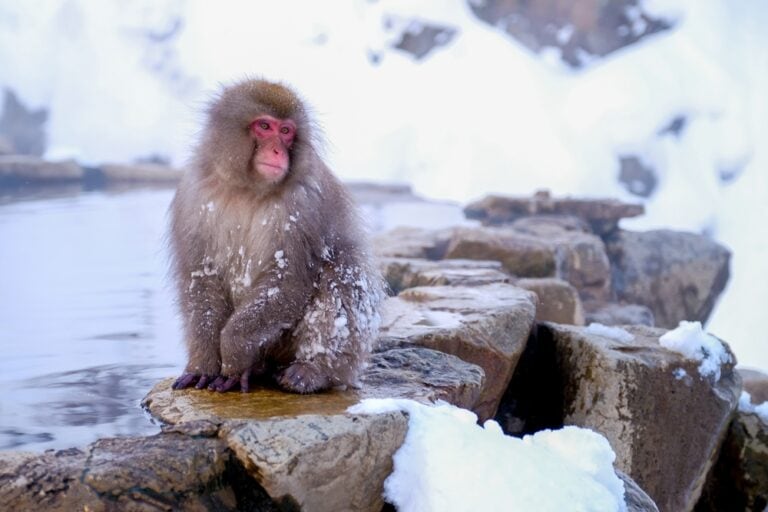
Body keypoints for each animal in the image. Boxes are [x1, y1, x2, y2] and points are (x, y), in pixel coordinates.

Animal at [169, 79, 384, 394]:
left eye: (286, 132)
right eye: (264, 126)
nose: (277, 152)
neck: (247, 189)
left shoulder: (304, 206)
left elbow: (288, 279)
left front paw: (233, 356)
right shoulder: (193, 195)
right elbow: (201, 279)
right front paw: (203, 364)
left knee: (342, 271)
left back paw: (312, 371)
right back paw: (258, 368)